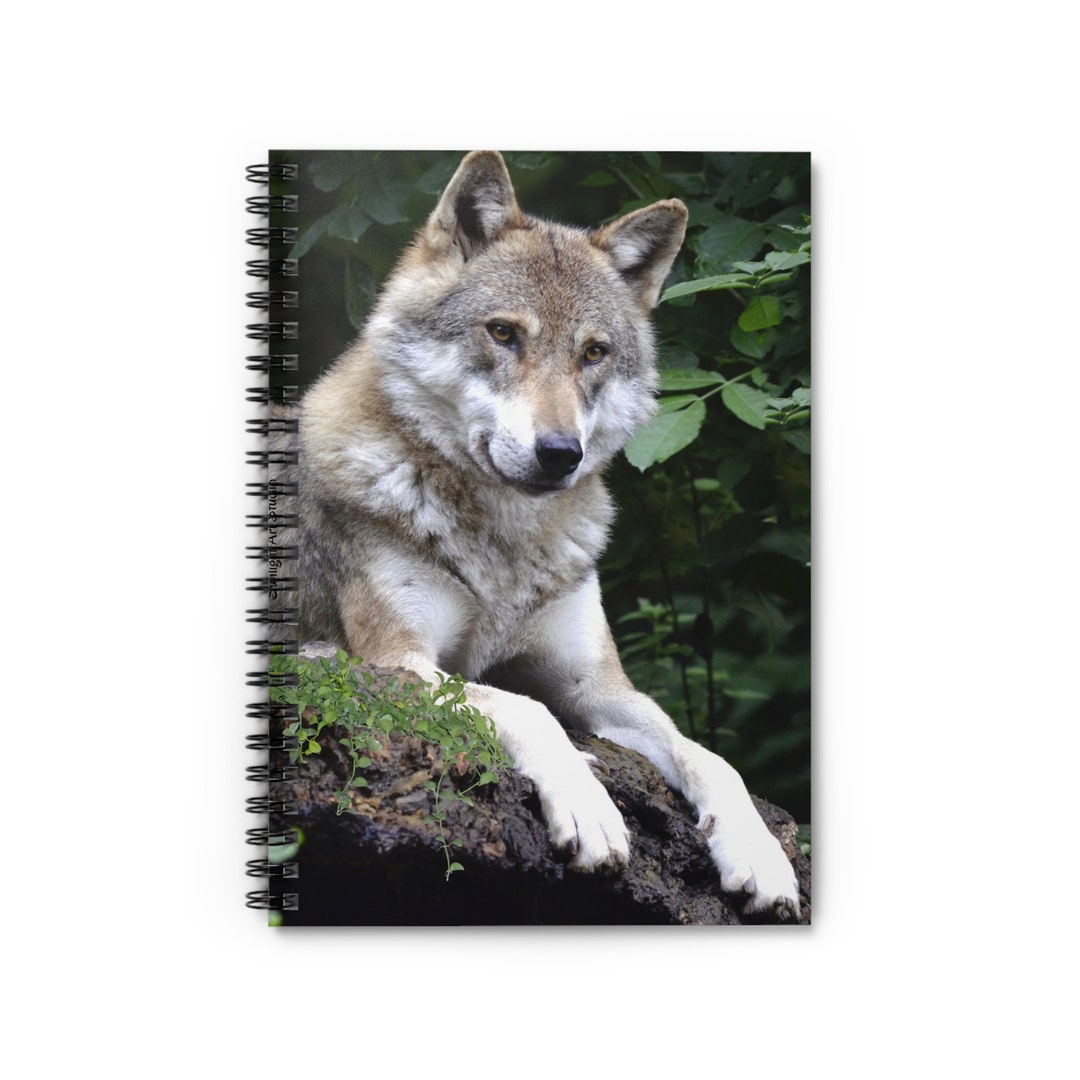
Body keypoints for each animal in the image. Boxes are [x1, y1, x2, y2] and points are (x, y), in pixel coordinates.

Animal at [289, 150, 800, 919]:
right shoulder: (397, 661)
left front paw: (760, 854)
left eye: (593, 352)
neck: (504, 546)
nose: (560, 453)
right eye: (504, 333)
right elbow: (525, 707)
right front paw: (589, 808)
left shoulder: (597, 684)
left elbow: (709, 757)